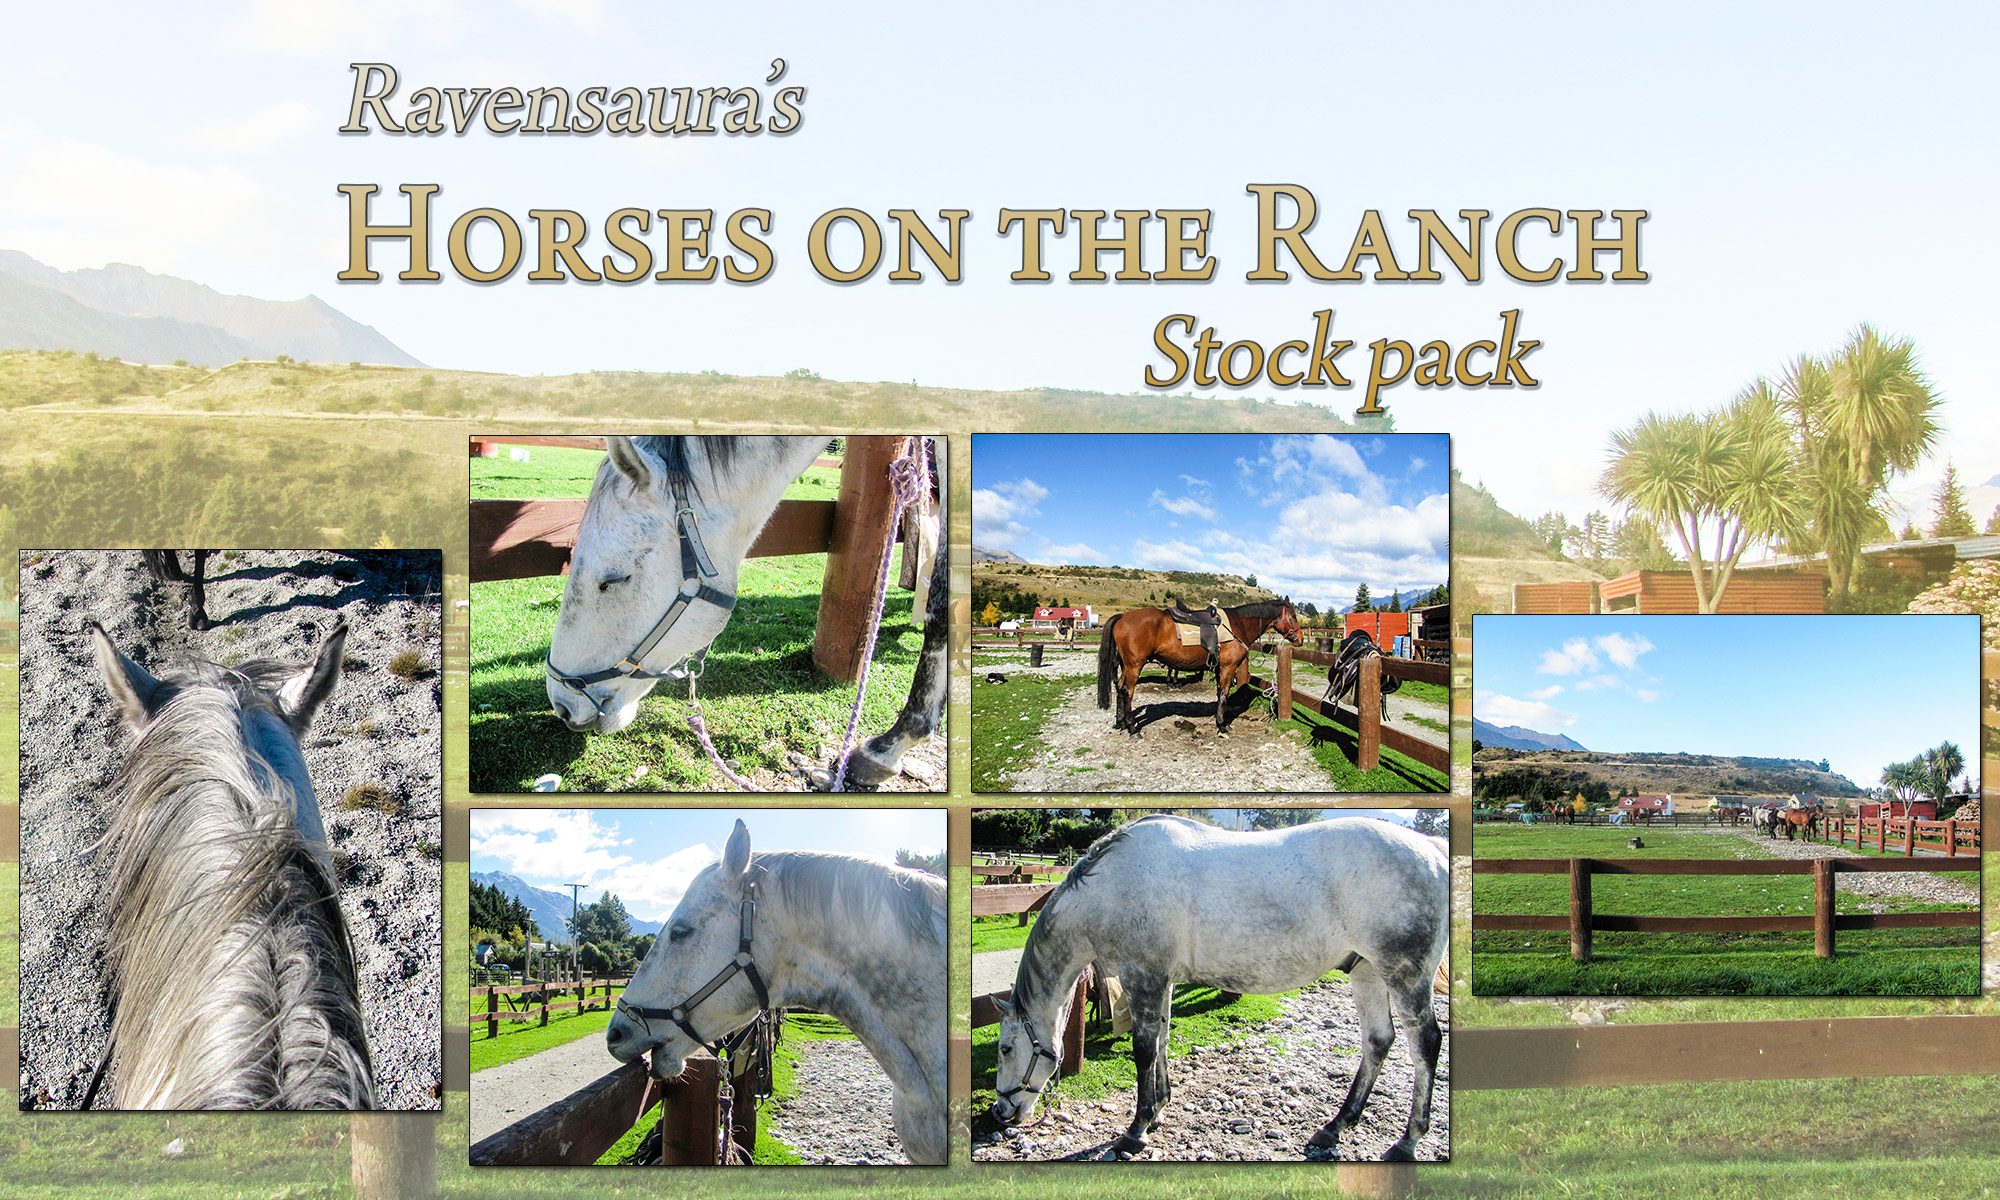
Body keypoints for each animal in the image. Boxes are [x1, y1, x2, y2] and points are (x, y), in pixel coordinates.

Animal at [990, 814, 1447, 1161]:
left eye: (1006, 1049)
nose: (1002, 1111)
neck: (1111, 885)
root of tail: (1432, 850)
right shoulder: (1161, 981)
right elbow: (1162, 1040)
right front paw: (1159, 1109)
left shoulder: (1143, 977)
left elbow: (1144, 1050)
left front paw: (1136, 1130)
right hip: (1367, 972)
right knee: (1378, 1041)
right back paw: (1335, 1127)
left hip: (1403, 976)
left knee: (1425, 1043)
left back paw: (1407, 1141)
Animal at [1095, 599, 1301, 735]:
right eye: (1293, 616)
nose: (1299, 639)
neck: (1237, 625)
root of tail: (1122, 617)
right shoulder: (1228, 667)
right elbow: (1224, 695)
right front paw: (1222, 725)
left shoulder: (1219, 668)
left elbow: (1219, 694)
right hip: (1134, 665)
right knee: (1127, 691)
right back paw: (1131, 727)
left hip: (1126, 665)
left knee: (1119, 687)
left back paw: (1120, 722)